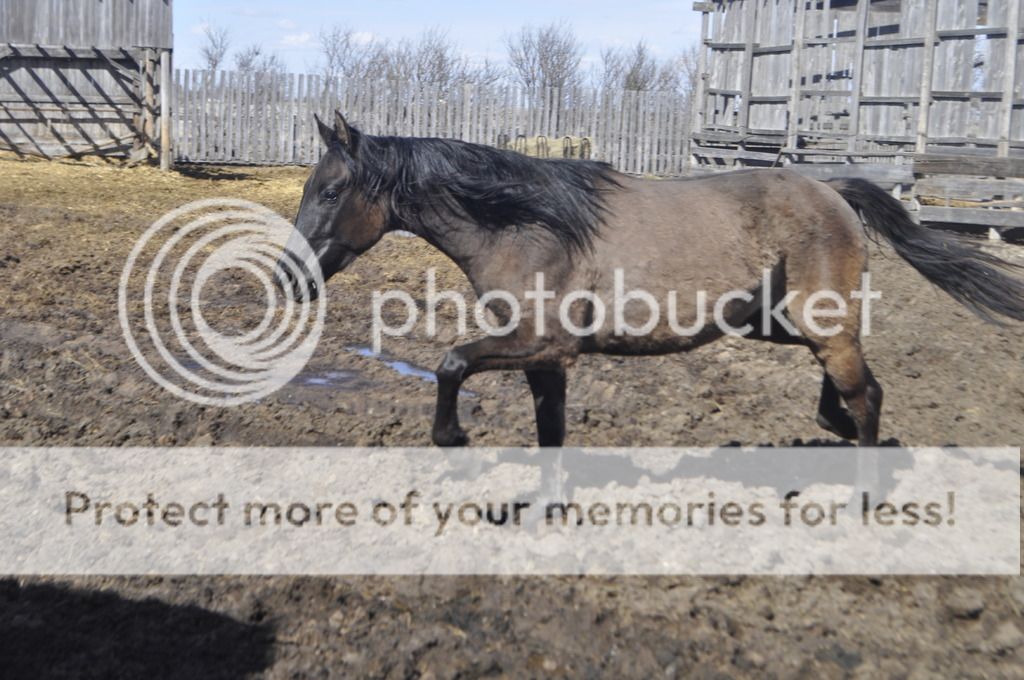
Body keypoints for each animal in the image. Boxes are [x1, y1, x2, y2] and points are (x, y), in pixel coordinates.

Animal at [275, 111, 1024, 448]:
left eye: (332, 190)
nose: (288, 277)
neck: (529, 227)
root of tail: (832, 189)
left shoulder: (546, 344)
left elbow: (451, 362)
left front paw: (452, 435)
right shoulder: (547, 361)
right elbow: (550, 432)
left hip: (817, 324)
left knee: (864, 394)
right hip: (775, 323)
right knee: (851, 386)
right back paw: (830, 424)